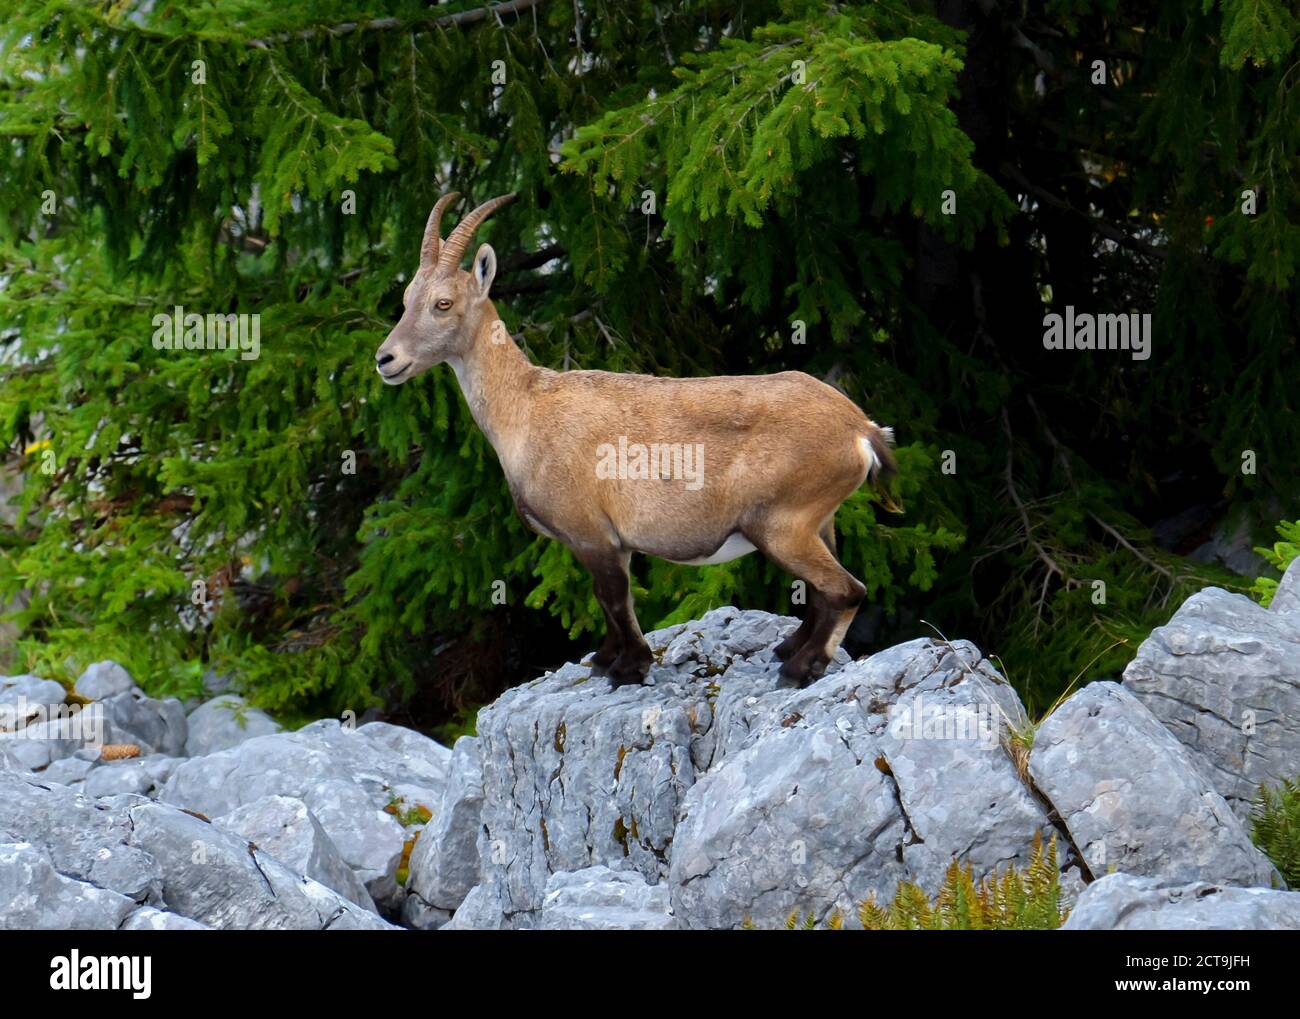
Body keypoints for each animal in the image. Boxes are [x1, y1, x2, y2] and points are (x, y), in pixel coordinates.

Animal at [375, 192, 900, 688]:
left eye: (444, 303)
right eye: (406, 297)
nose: (386, 359)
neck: (526, 409)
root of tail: (861, 428)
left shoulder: (593, 532)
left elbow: (611, 596)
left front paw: (629, 667)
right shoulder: (608, 541)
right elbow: (610, 602)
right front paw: (604, 661)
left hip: (782, 522)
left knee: (846, 589)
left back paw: (799, 668)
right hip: (820, 520)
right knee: (823, 590)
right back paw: (788, 650)